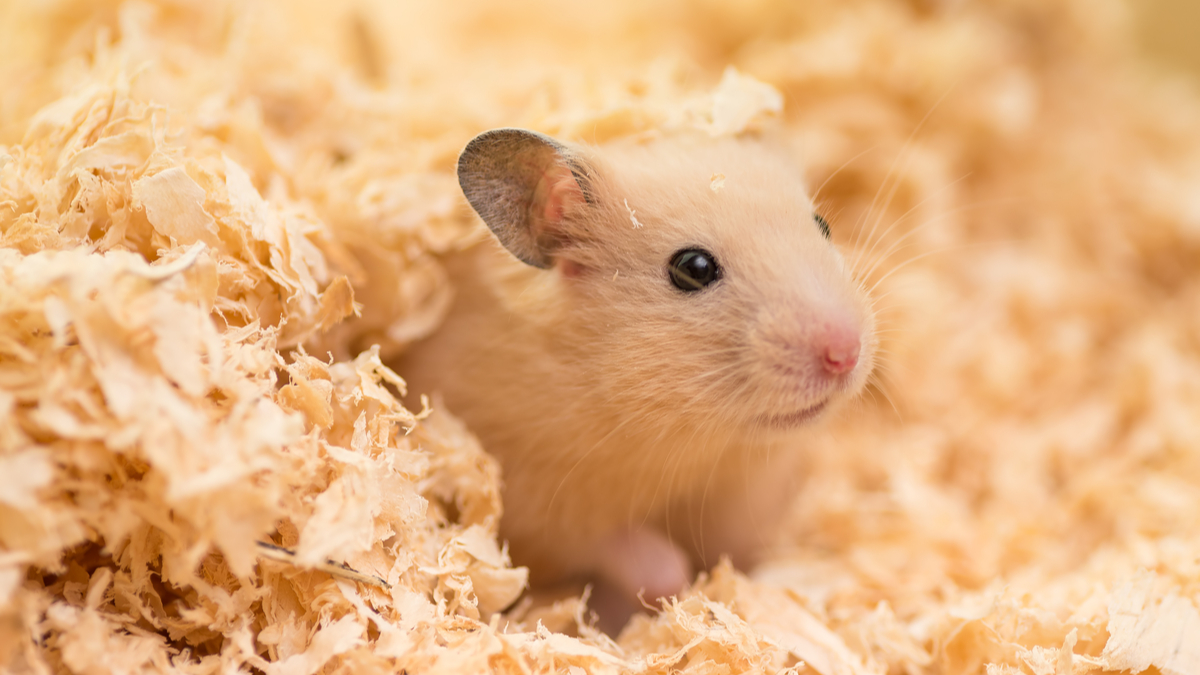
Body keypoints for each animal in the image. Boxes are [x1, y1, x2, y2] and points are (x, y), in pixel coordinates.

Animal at [398, 128, 875, 628]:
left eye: (823, 225)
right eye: (693, 268)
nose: (845, 353)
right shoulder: (529, 498)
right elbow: (623, 549)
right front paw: (667, 587)